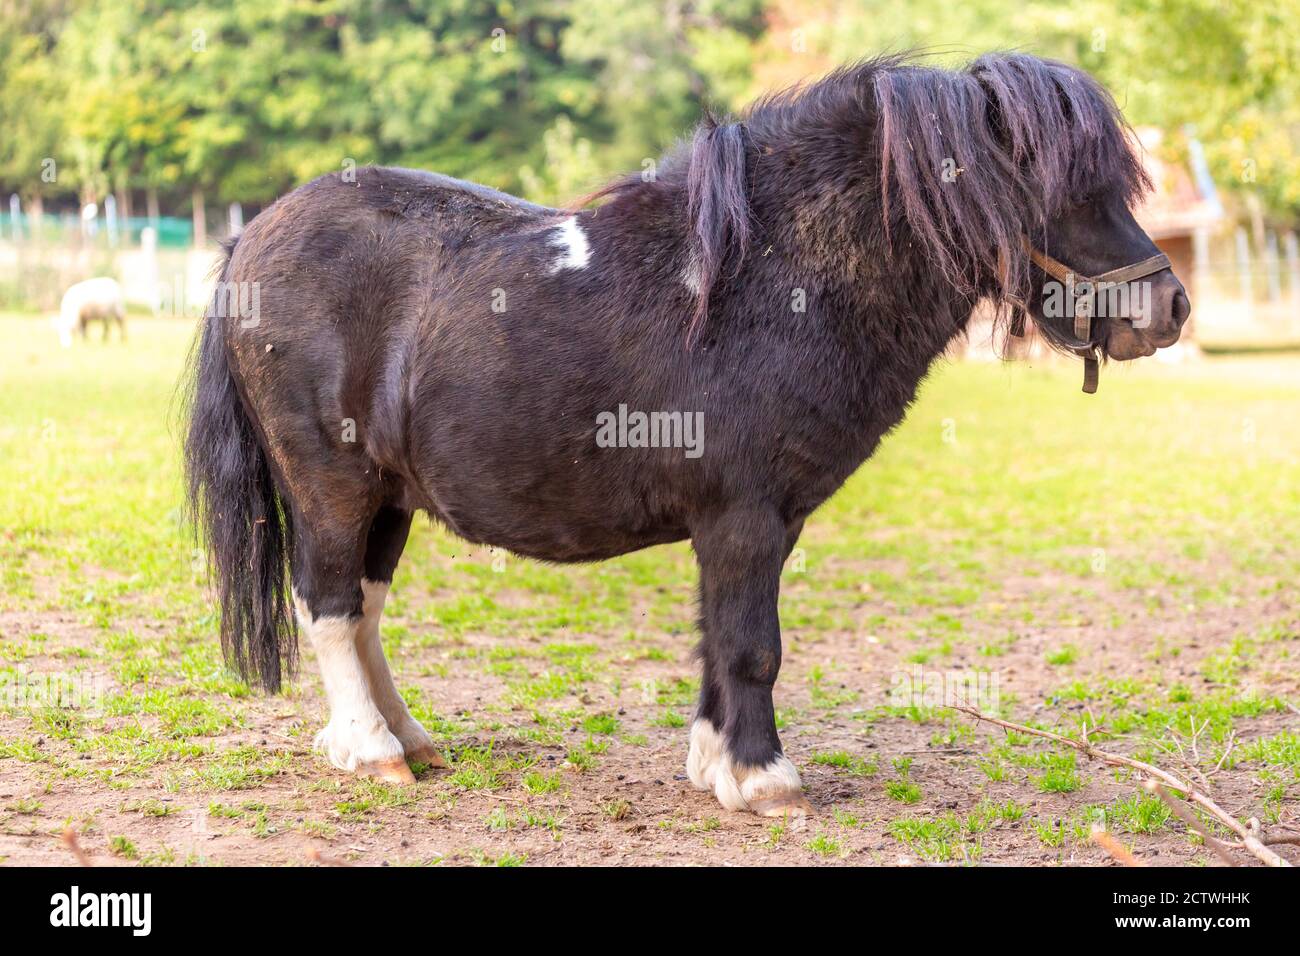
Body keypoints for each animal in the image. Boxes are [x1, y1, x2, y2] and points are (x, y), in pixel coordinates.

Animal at [184, 52, 1189, 818]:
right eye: (1059, 187)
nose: (1169, 308)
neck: (769, 281)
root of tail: (249, 244)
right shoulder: (744, 517)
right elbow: (753, 644)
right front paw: (764, 779)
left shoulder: (755, 521)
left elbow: (717, 637)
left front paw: (716, 766)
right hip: (331, 485)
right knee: (328, 604)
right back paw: (369, 750)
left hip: (388, 497)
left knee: (363, 608)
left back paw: (410, 738)